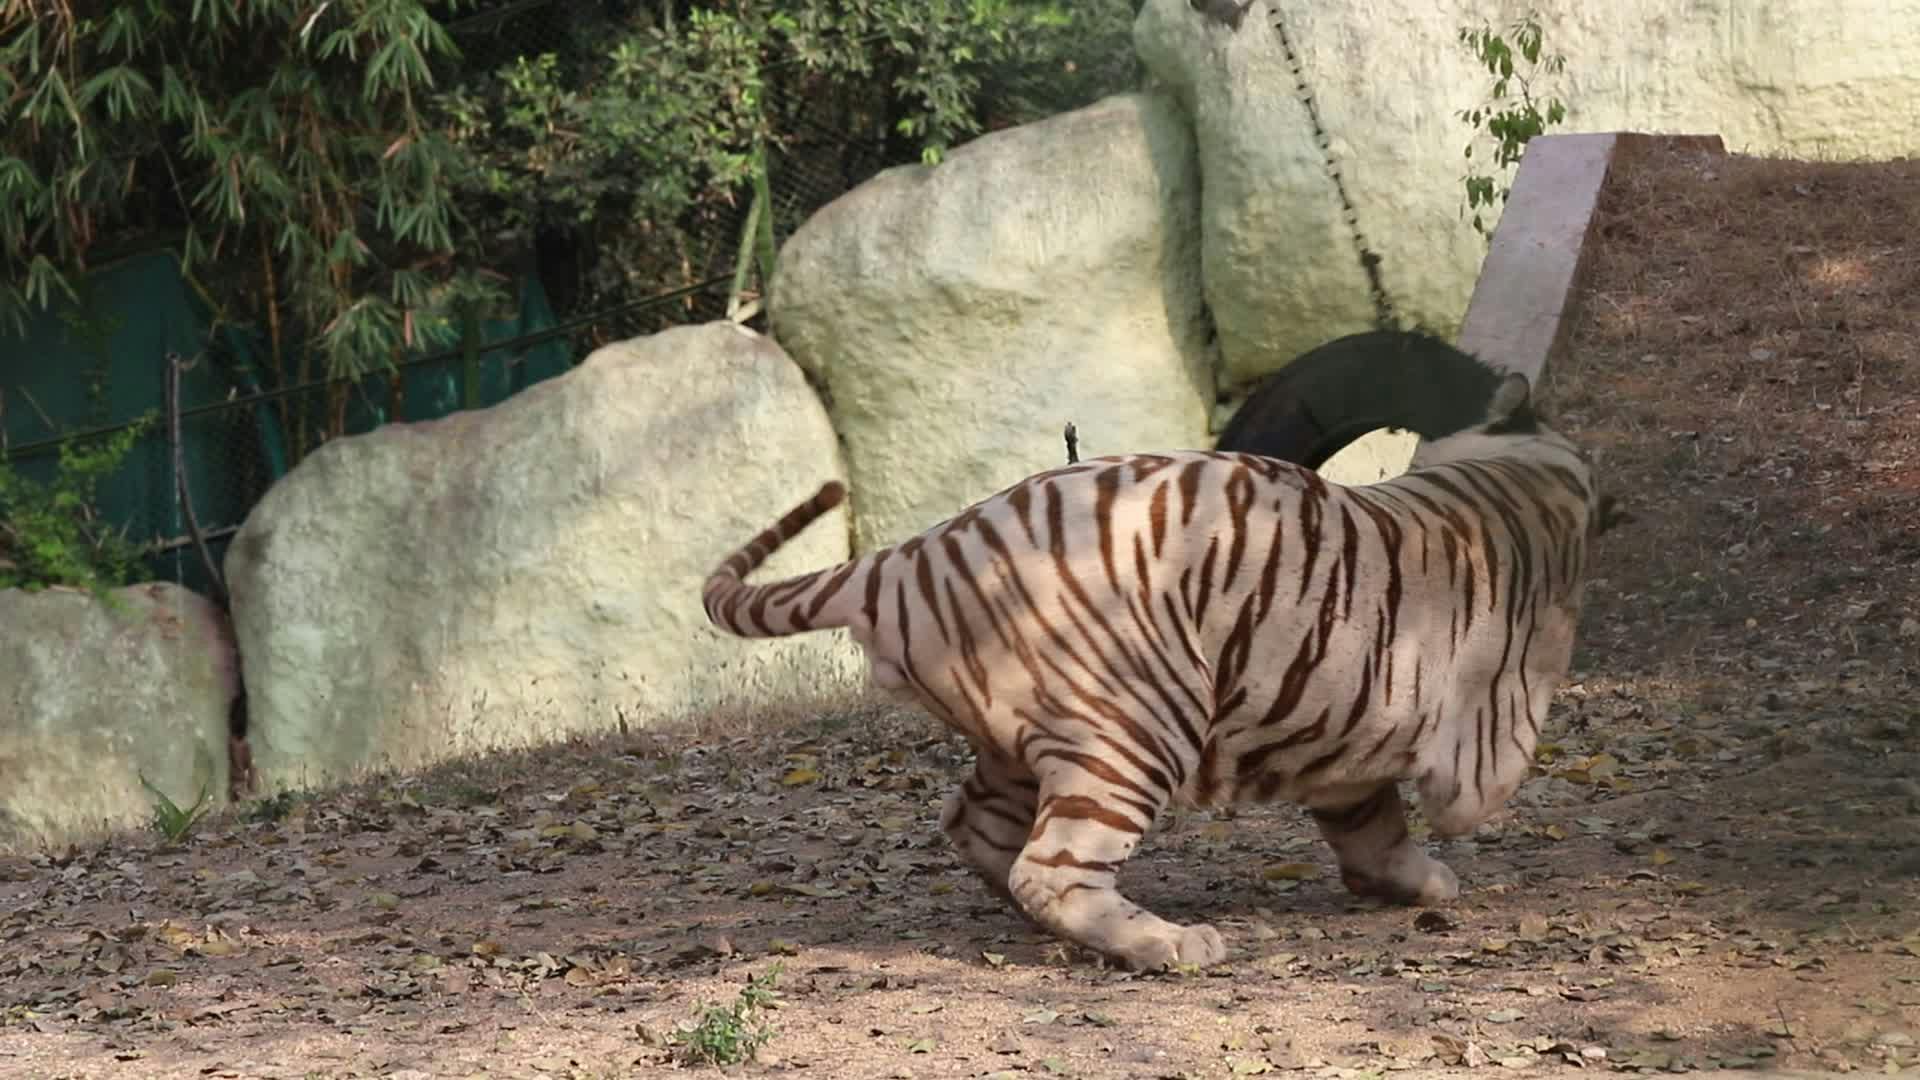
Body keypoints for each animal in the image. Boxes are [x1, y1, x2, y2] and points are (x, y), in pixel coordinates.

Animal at [701, 372, 1609, 972]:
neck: (1510, 473)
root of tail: (903, 559)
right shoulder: (1480, 725)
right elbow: (1460, 794)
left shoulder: (1349, 722)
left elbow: (1371, 821)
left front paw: (1409, 882)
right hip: (1137, 725)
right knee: (1051, 869)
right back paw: (1171, 944)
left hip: (1022, 742)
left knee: (980, 831)